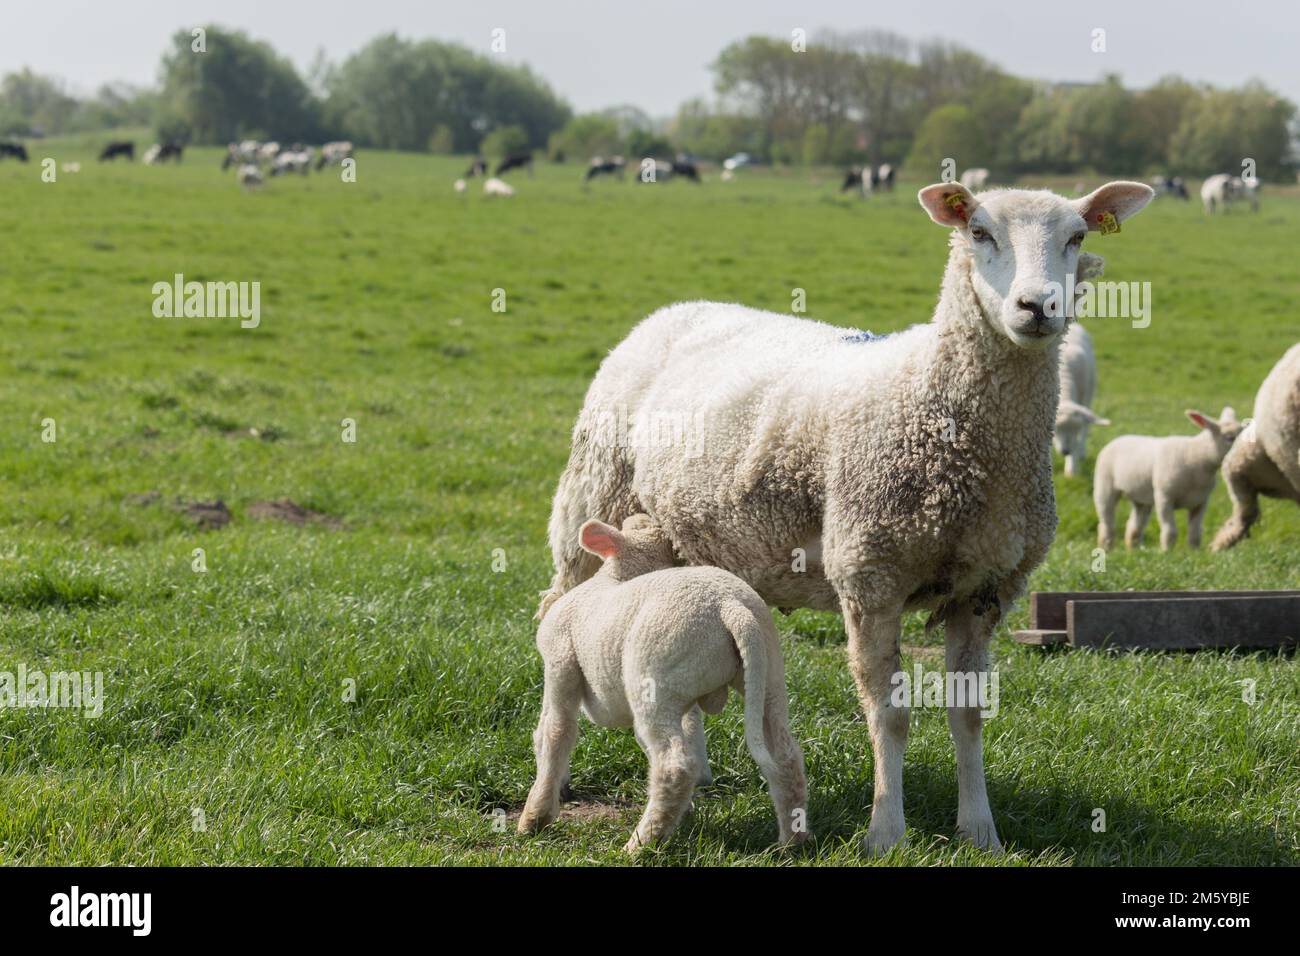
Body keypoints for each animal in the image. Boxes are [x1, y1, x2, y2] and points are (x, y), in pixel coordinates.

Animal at [519, 515, 809, 852]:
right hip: (766, 675)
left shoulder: (559, 661)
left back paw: (641, 844)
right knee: (784, 755)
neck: (616, 577)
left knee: (674, 766)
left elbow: (554, 734)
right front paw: (687, 813)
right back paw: (793, 840)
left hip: (653, 680)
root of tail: (730, 607)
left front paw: (534, 819)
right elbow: (691, 732)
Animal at [1093, 407, 1243, 551]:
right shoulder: (1164, 496)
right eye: (1230, 437)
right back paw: (1106, 548)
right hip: (1104, 486)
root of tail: (1119, 438)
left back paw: (1133, 550)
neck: (1196, 456)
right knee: (1106, 523)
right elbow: (1170, 531)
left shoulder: (1200, 501)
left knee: (1133, 525)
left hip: (1141, 498)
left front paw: (1194, 552)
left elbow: (1195, 533)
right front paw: (1167, 552)